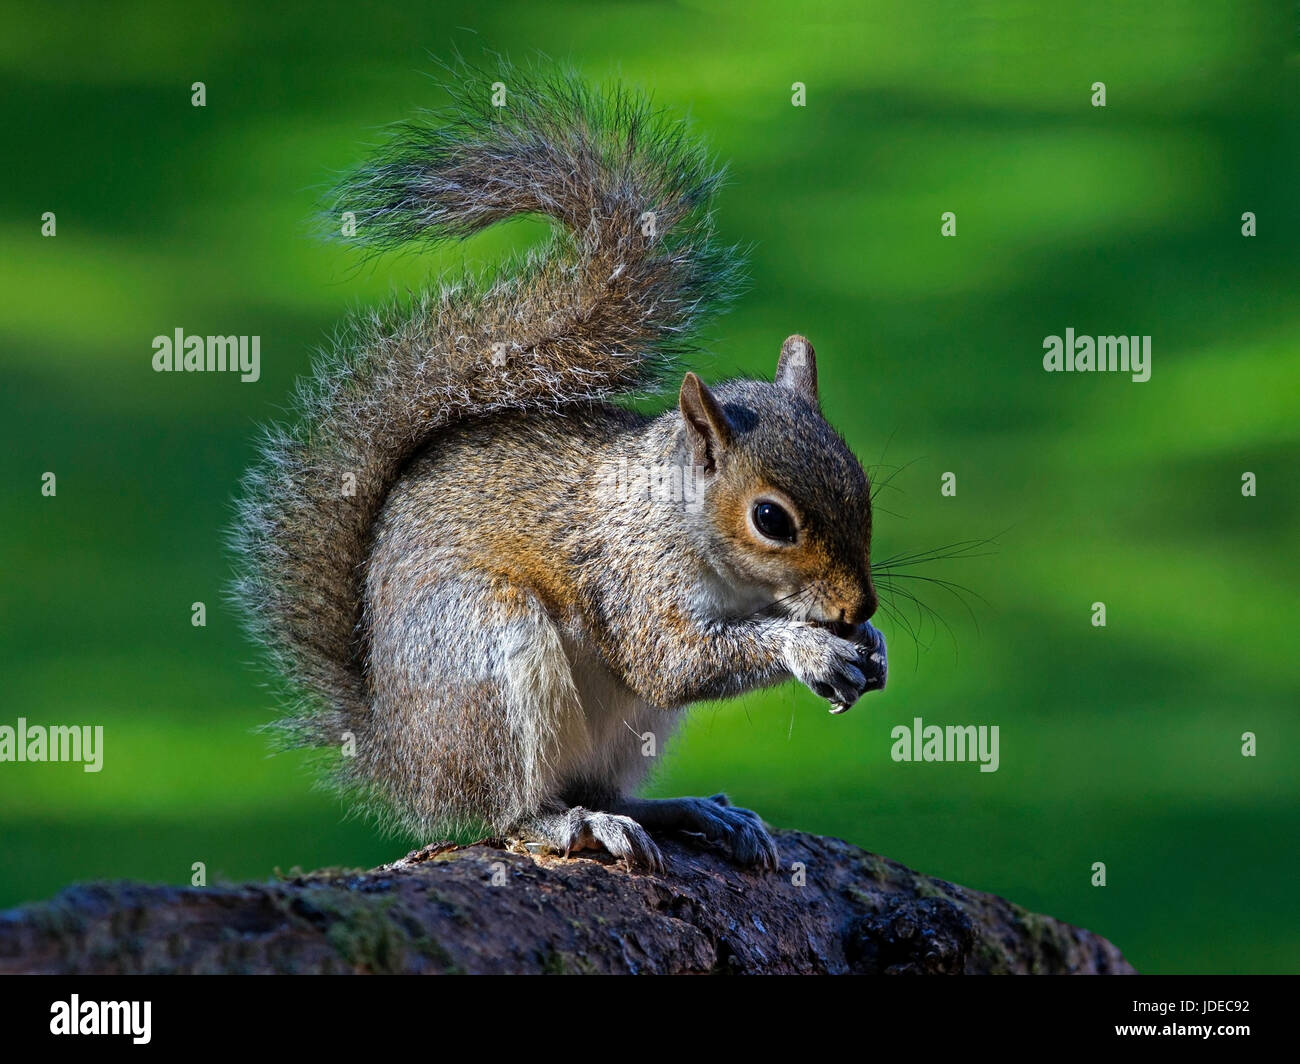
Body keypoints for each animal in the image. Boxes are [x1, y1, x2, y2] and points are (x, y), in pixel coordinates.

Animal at [232, 63, 887, 873]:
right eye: (771, 519)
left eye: (863, 486)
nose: (859, 609)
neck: (673, 516)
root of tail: (400, 757)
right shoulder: (632, 579)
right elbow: (671, 661)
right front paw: (809, 648)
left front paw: (869, 648)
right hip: (486, 649)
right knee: (508, 808)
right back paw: (567, 824)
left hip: (631, 731)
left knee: (603, 786)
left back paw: (687, 811)